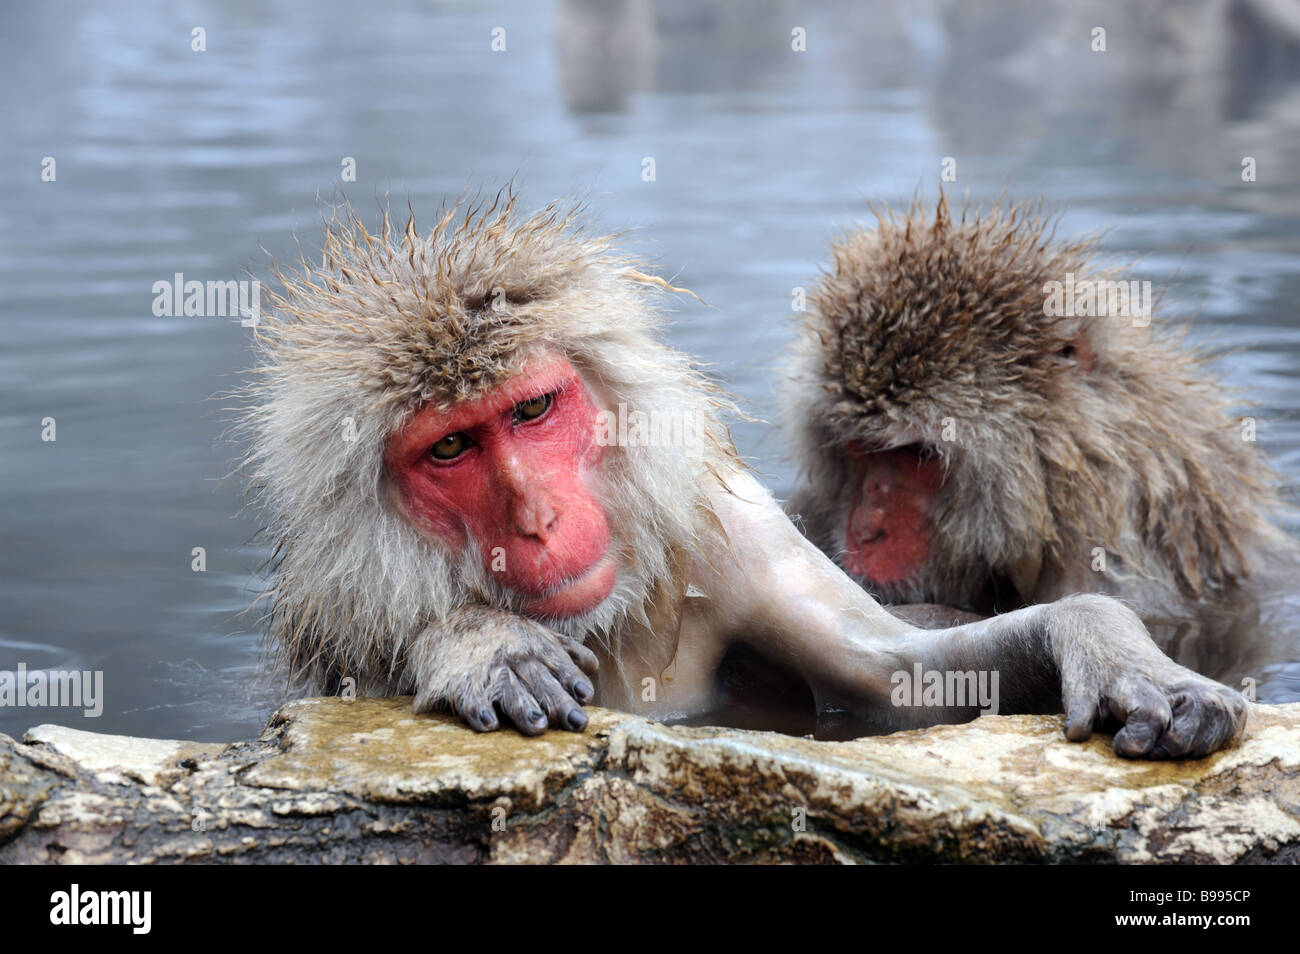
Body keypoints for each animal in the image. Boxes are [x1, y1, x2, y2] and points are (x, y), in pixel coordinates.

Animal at [240, 187, 1248, 759]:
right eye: (450, 448)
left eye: (532, 411)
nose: (535, 518)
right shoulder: (339, 605)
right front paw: (475, 641)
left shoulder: (732, 535)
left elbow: (900, 681)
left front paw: (1110, 648)